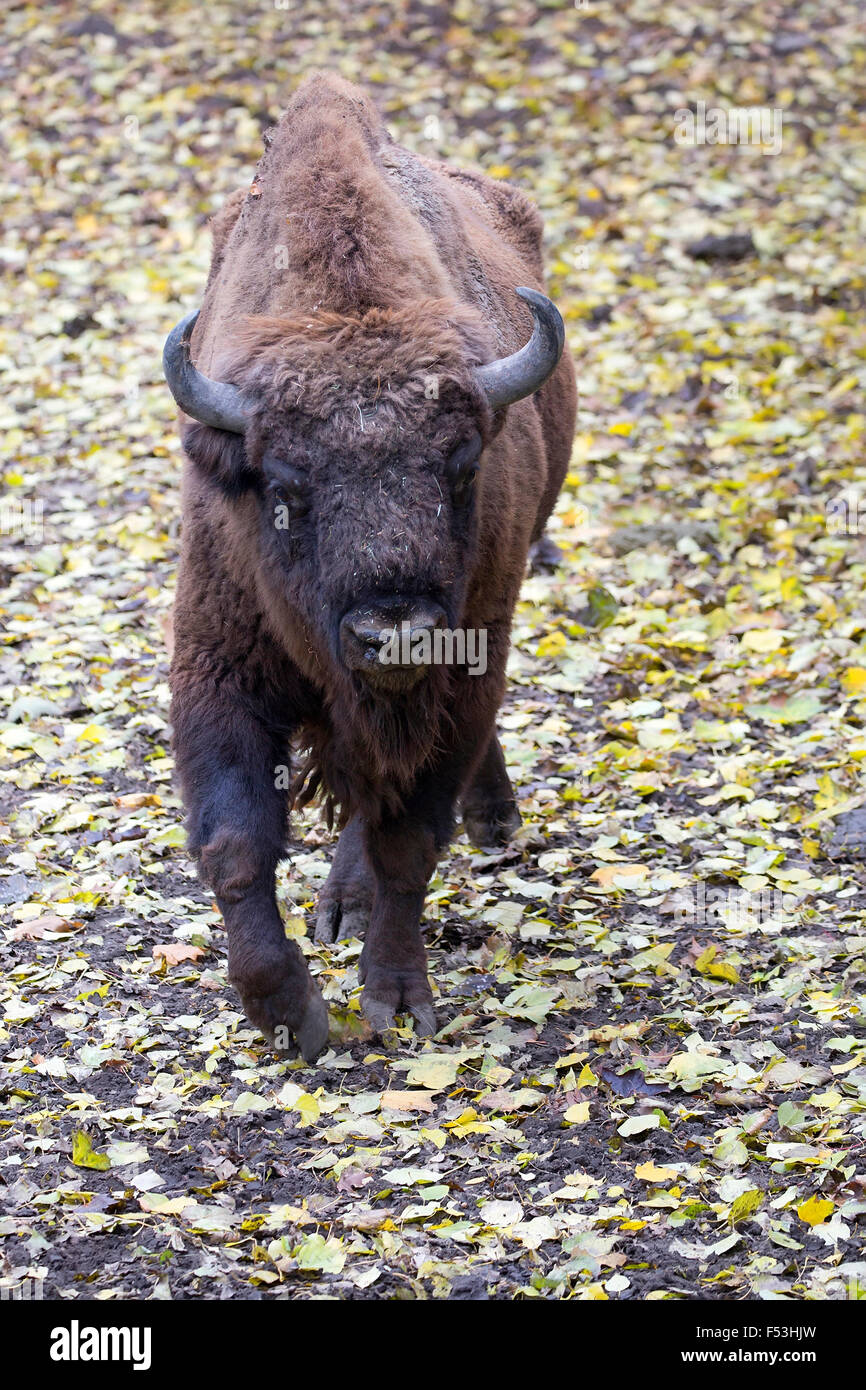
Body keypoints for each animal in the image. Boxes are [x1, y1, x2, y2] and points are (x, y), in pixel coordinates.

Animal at [163, 73, 577, 1060]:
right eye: (284, 484)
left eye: (460, 466)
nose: (396, 635)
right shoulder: (215, 669)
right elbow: (235, 844)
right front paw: (291, 1018)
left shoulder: (463, 676)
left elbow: (408, 842)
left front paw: (394, 999)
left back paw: (481, 826)